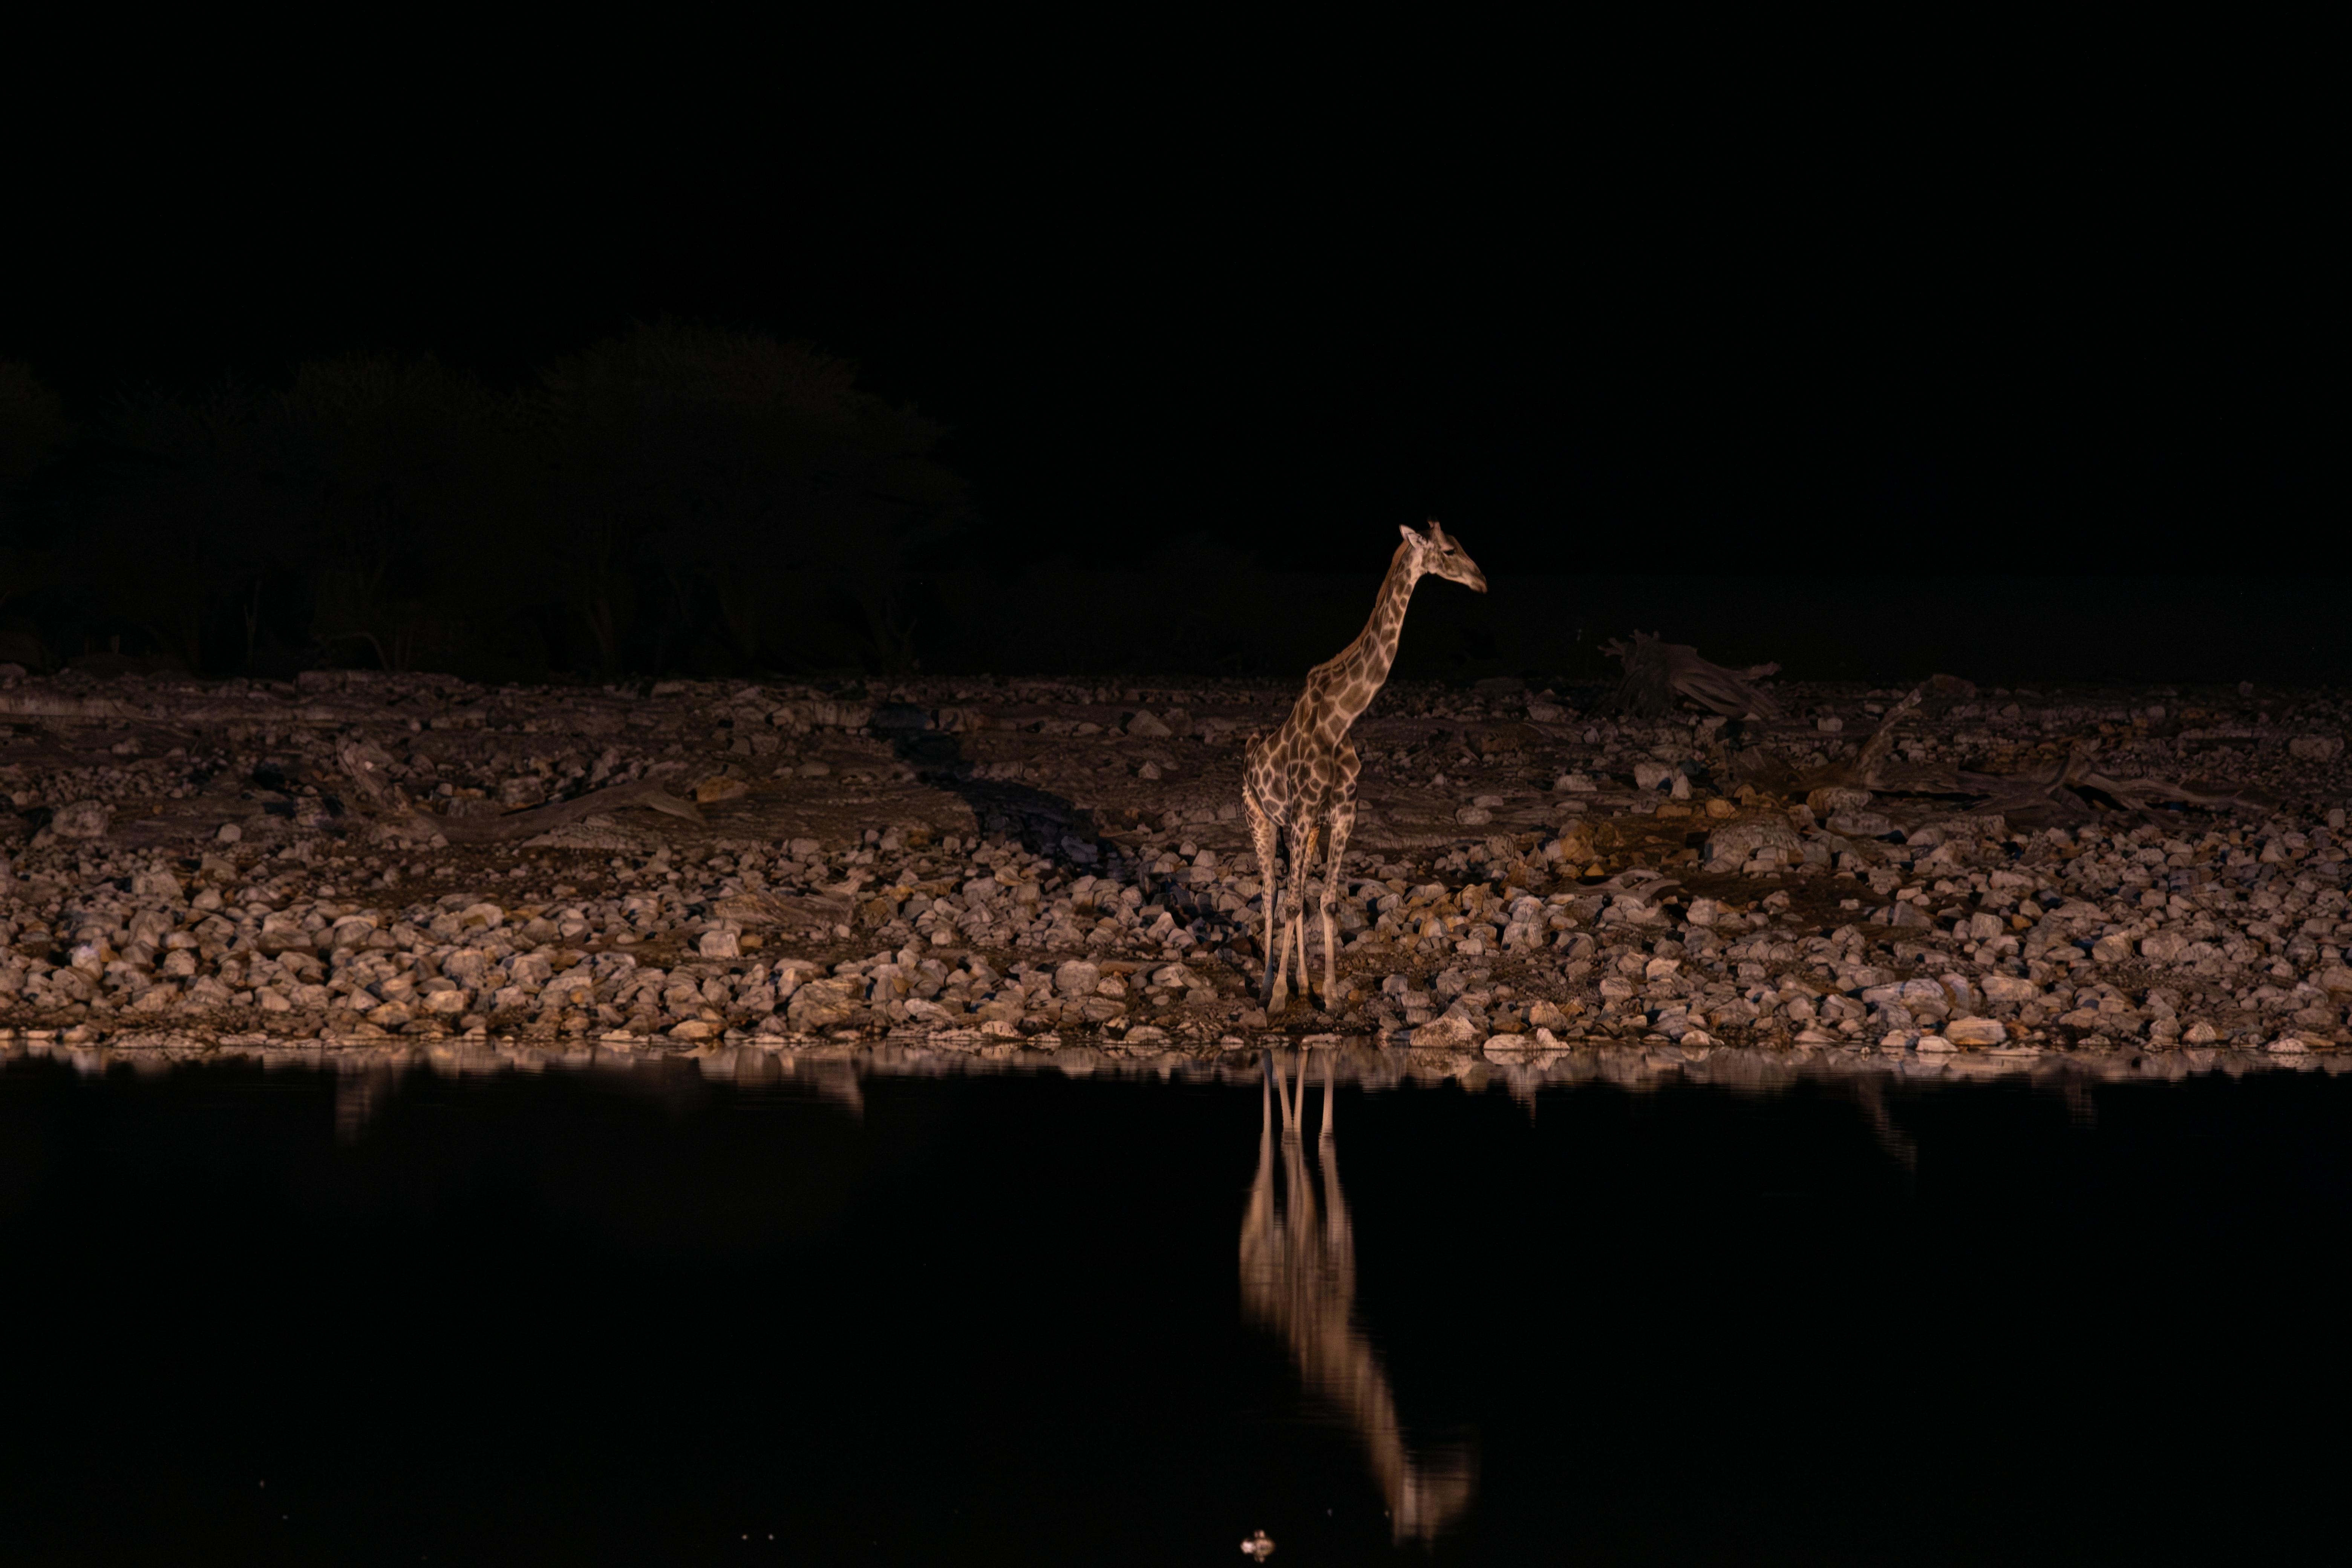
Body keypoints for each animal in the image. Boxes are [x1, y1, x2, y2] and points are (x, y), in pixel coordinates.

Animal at [1242, 521, 1486, 1014]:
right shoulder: (1301, 813)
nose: (1481, 581)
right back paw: (1266, 986)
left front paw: (1330, 993)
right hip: (1260, 818)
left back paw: (1302, 984)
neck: (1341, 719)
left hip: (1304, 829)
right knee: (1272, 890)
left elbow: (1328, 901)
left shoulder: (1341, 813)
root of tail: (1249, 750)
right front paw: (1277, 998)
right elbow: (1290, 902)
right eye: (1450, 550)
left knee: (1299, 891)